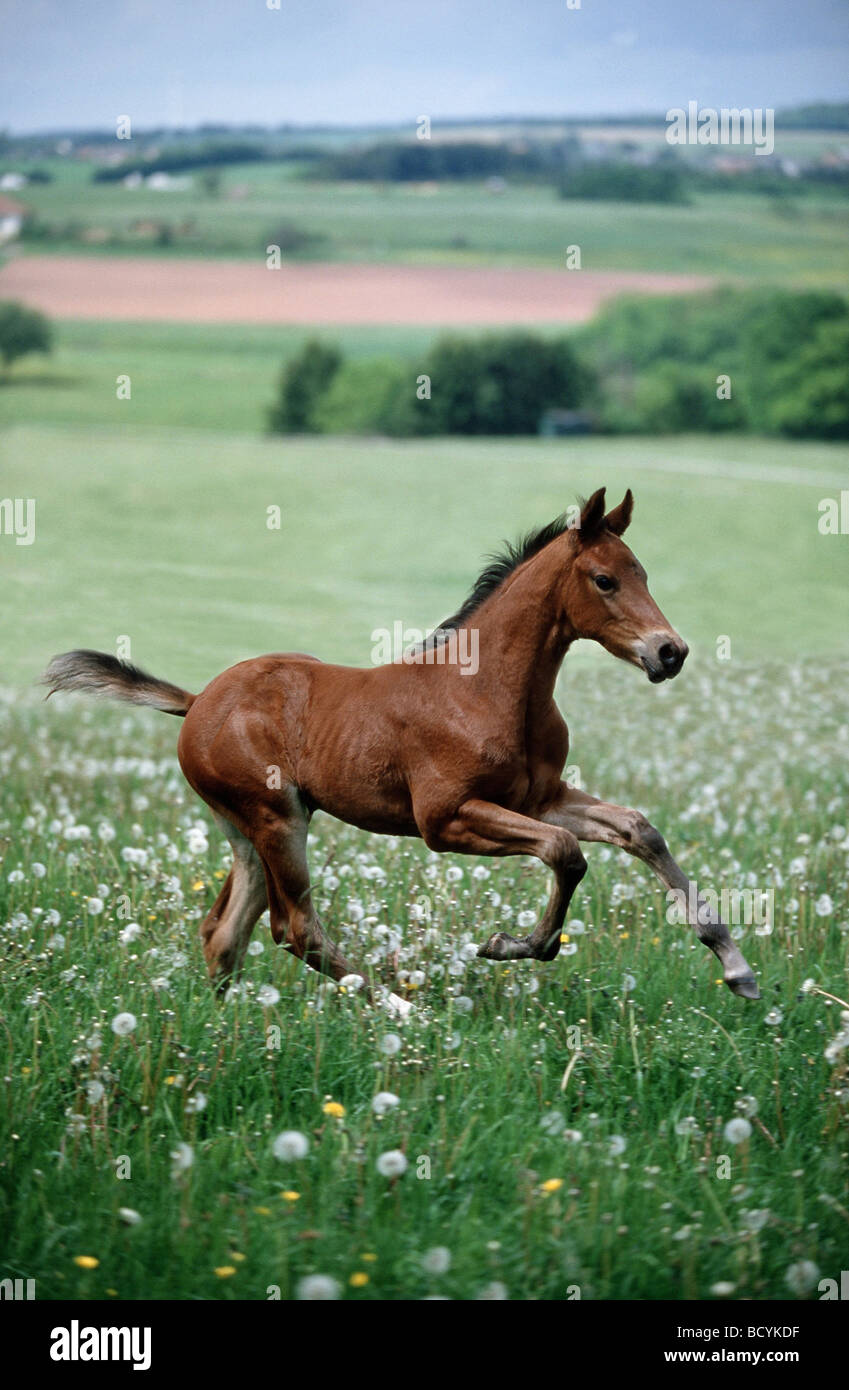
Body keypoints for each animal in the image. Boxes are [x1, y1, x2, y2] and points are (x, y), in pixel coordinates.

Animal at [43, 487, 760, 1004]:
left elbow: (637, 830)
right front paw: (513, 945)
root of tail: (197, 703)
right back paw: (402, 1010)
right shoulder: (445, 820)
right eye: (604, 580)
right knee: (293, 928)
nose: (669, 652)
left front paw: (735, 966)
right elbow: (565, 853)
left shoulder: (539, 797)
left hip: (248, 828)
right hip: (277, 819)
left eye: (643, 573)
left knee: (225, 933)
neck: (486, 689)